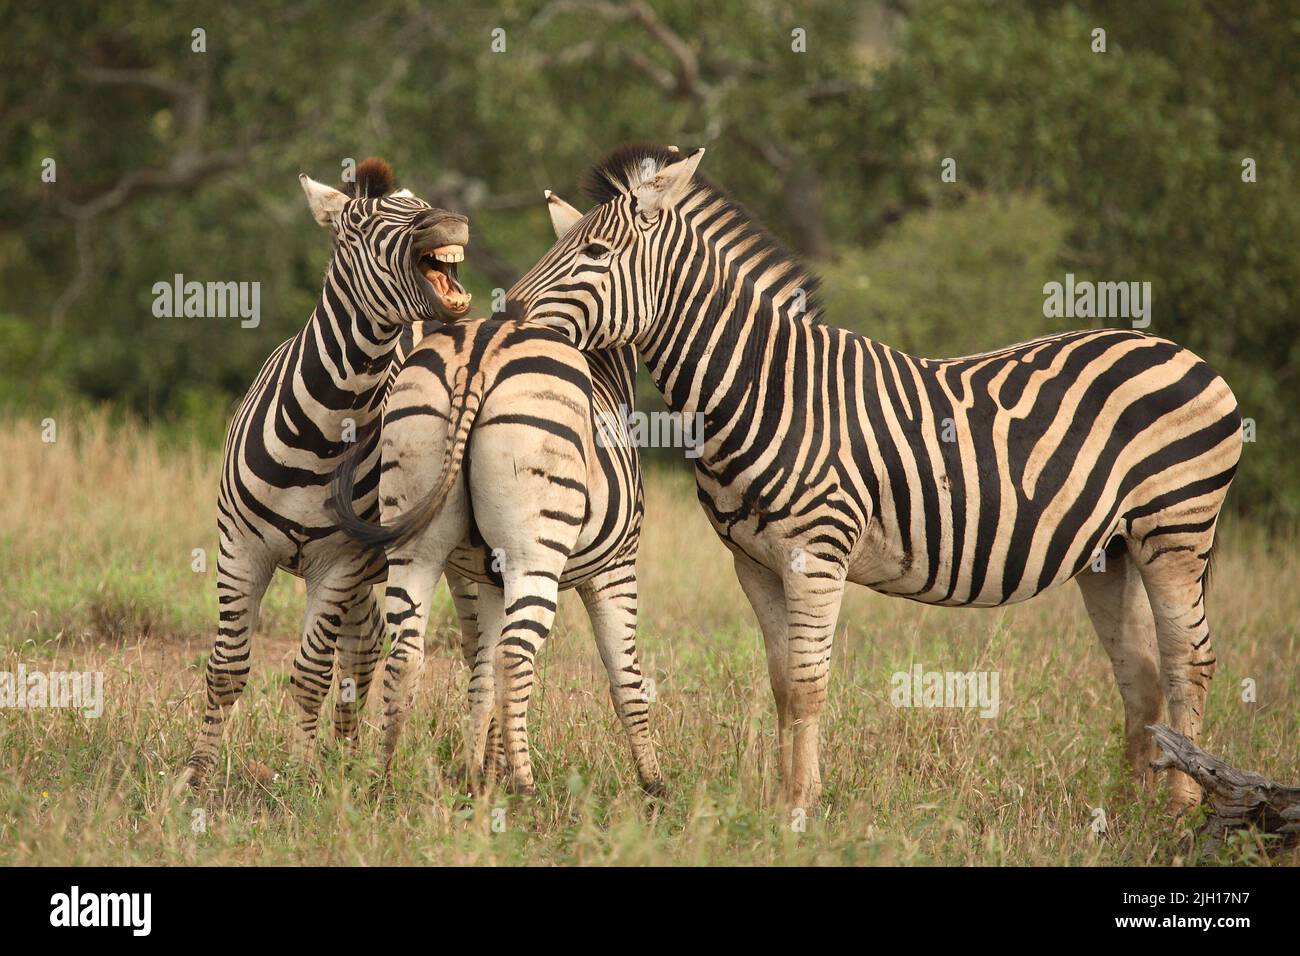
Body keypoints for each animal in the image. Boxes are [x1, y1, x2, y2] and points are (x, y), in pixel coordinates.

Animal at [183, 158, 483, 784]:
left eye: (421, 202)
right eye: (363, 225)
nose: (451, 222)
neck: (321, 434)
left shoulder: (338, 562)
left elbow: (310, 672)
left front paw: (300, 775)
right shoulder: (239, 549)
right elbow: (226, 668)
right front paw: (194, 777)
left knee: (452, 650)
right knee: (365, 646)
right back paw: (344, 754)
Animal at [330, 192, 663, 795]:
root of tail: (478, 353)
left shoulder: (484, 575)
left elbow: (480, 671)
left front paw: (478, 773)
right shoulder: (616, 567)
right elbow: (625, 676)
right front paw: (653, 785)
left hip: (418, 537)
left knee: (407, 651)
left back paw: (383, 777)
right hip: (536, 551)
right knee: (515, 656)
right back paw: (528, 787)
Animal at [503, 144, 1243, 813]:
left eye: (597, 253)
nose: (507, 314)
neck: (764, 389)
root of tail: (1180, 351)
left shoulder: (817, 553)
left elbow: (808, 683)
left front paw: (799, 811)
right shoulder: (754, 563)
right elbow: (783, 682)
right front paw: (787, 802)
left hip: (1175, 530)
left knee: (1188, 660)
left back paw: (1179, 809)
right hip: (1109, 552)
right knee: (1139, 672)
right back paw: (1122, 808)